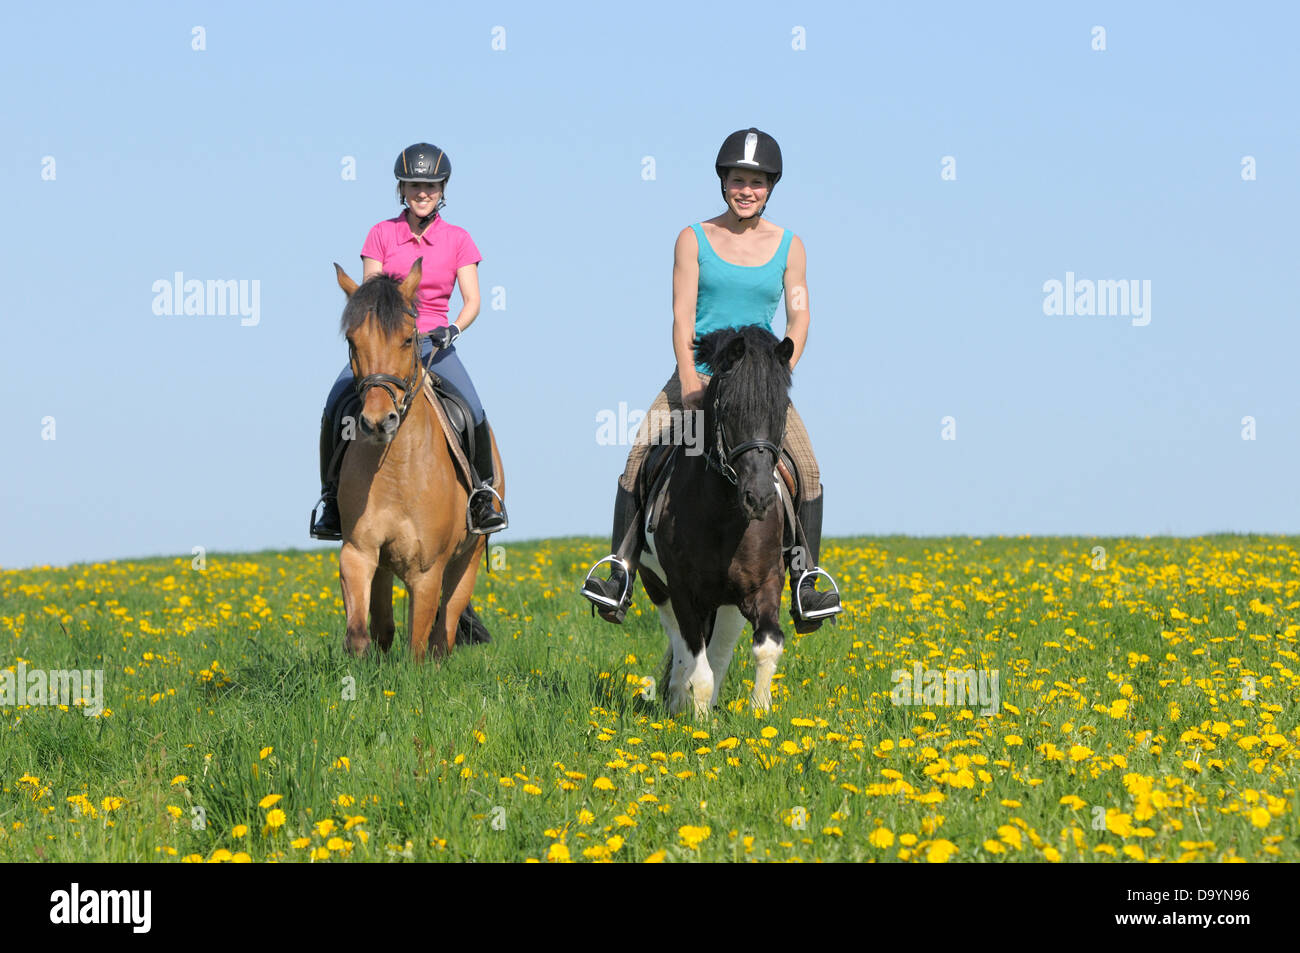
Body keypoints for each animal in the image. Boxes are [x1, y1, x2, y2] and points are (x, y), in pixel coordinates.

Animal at [333, 258, 505, 663]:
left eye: (408, 339)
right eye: (352, 341)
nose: (378, 421)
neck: (397, 469)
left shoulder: (427, 571)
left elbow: (418, 648)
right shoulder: (359, 553)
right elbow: (361, 635)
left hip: (467, 561)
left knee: (445, 631)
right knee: (385, 626)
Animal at [638, 325, 795, 718]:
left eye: (782, 408)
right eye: (729, 408)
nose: (760, 498)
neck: (724, 515)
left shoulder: (766, 582)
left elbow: (766, 646)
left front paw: (760, 713)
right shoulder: (681, 589)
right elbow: (696, 663)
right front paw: (698, 718)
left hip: (728, 602)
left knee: (720, 651)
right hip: (658, 587)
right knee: (680, 644)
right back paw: (678, 699)